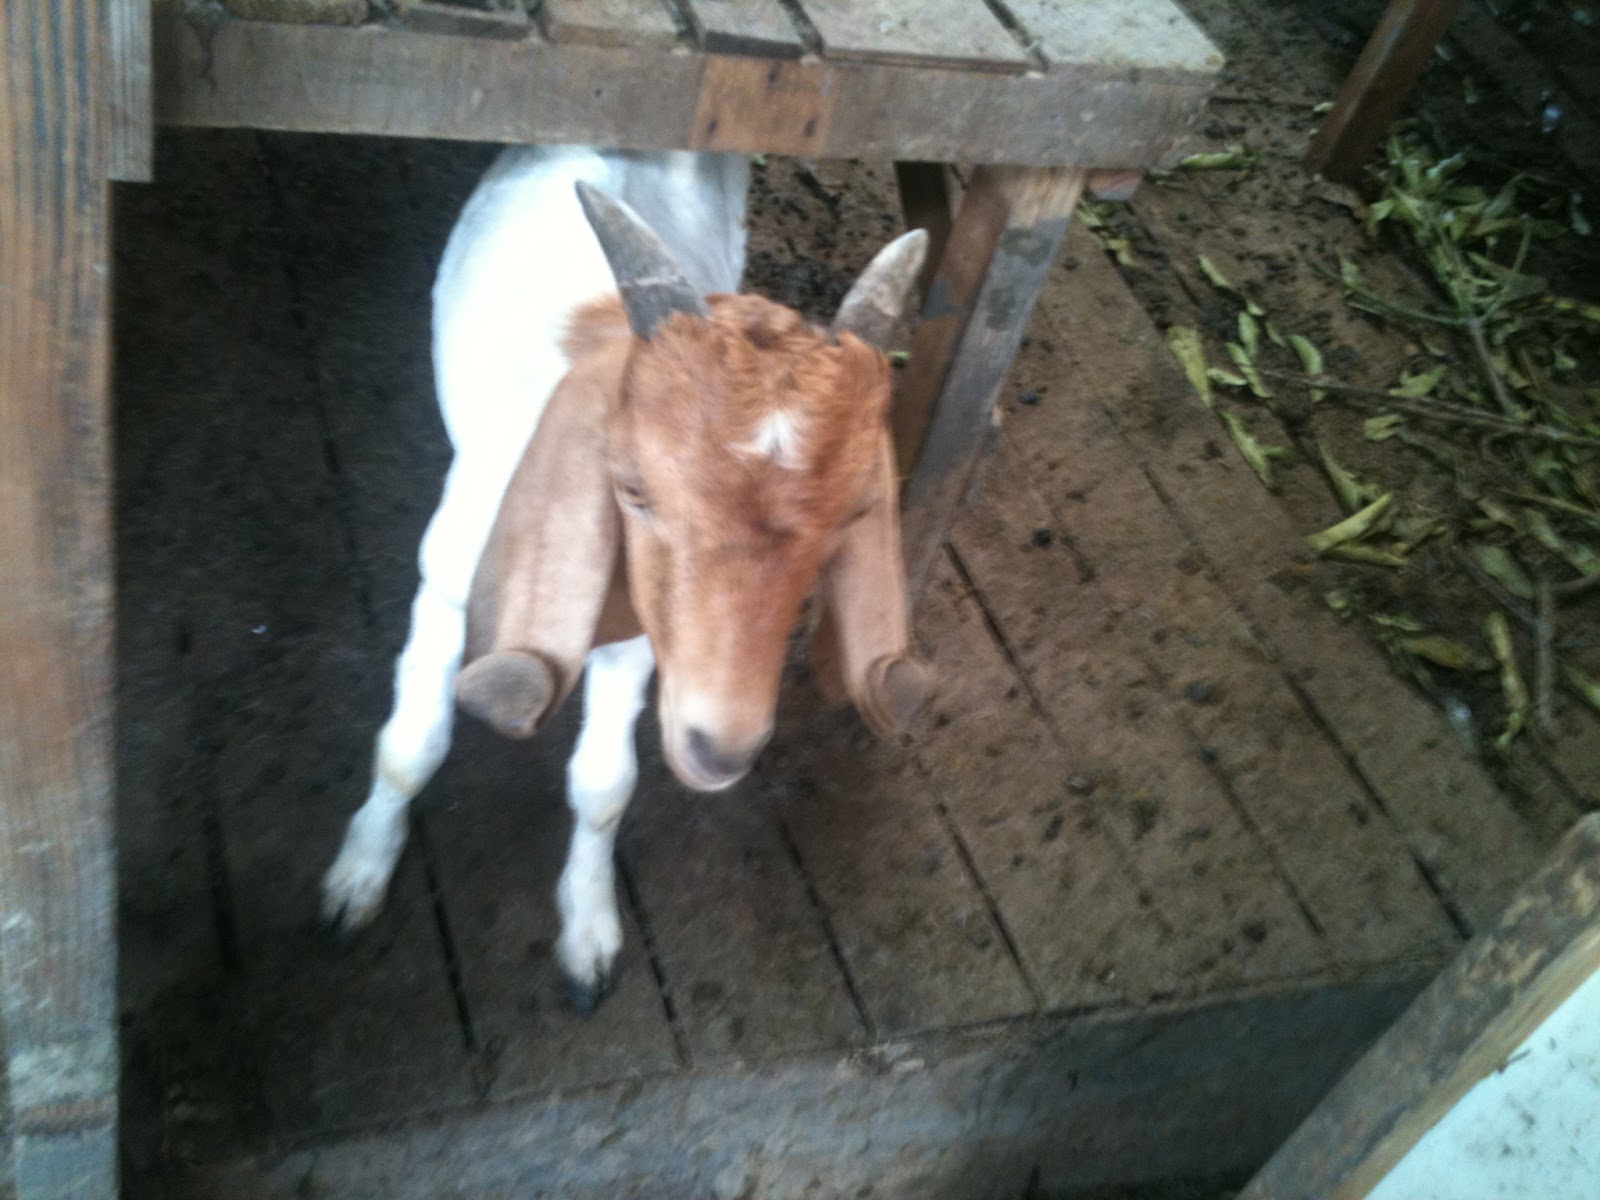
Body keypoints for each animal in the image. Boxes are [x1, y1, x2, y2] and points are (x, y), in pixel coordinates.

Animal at [322, 145, 930, 1008]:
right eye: (635, 491)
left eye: (853, 513)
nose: (722, 748)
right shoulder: (441, 587)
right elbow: (410, 747)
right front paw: (356, 883)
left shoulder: (645, 637)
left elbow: (604, 784)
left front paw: (588, 940)